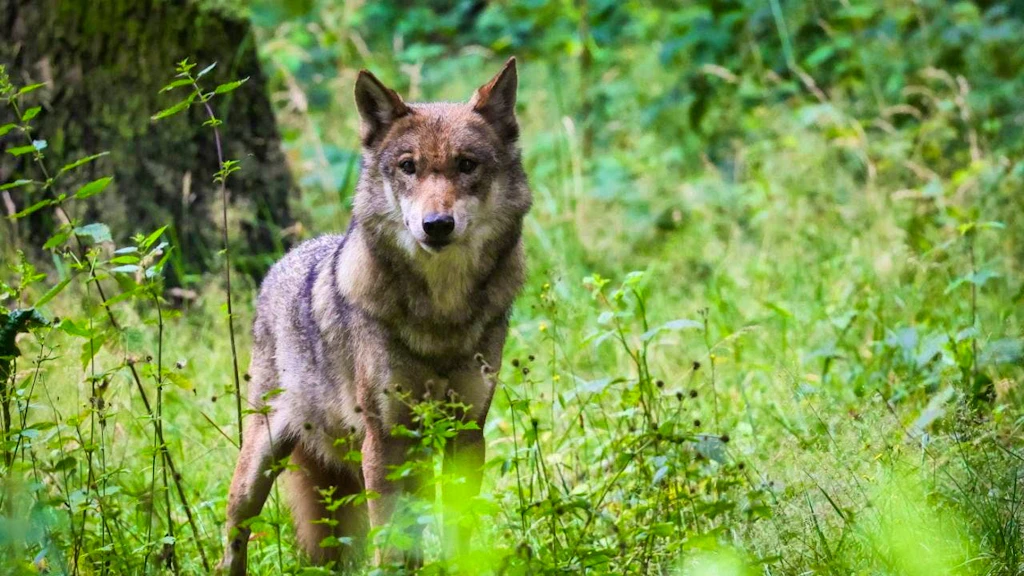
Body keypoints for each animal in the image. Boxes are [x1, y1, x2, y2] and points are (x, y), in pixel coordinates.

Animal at [216, 58, 531, 574]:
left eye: (467, 164)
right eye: (408, 167)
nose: (436, 225)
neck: (440, 315)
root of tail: (285, 259)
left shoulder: (466, 433)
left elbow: (457, 532)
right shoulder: (384, 440)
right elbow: (390, 540)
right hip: (259, 463)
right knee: (234, 534)